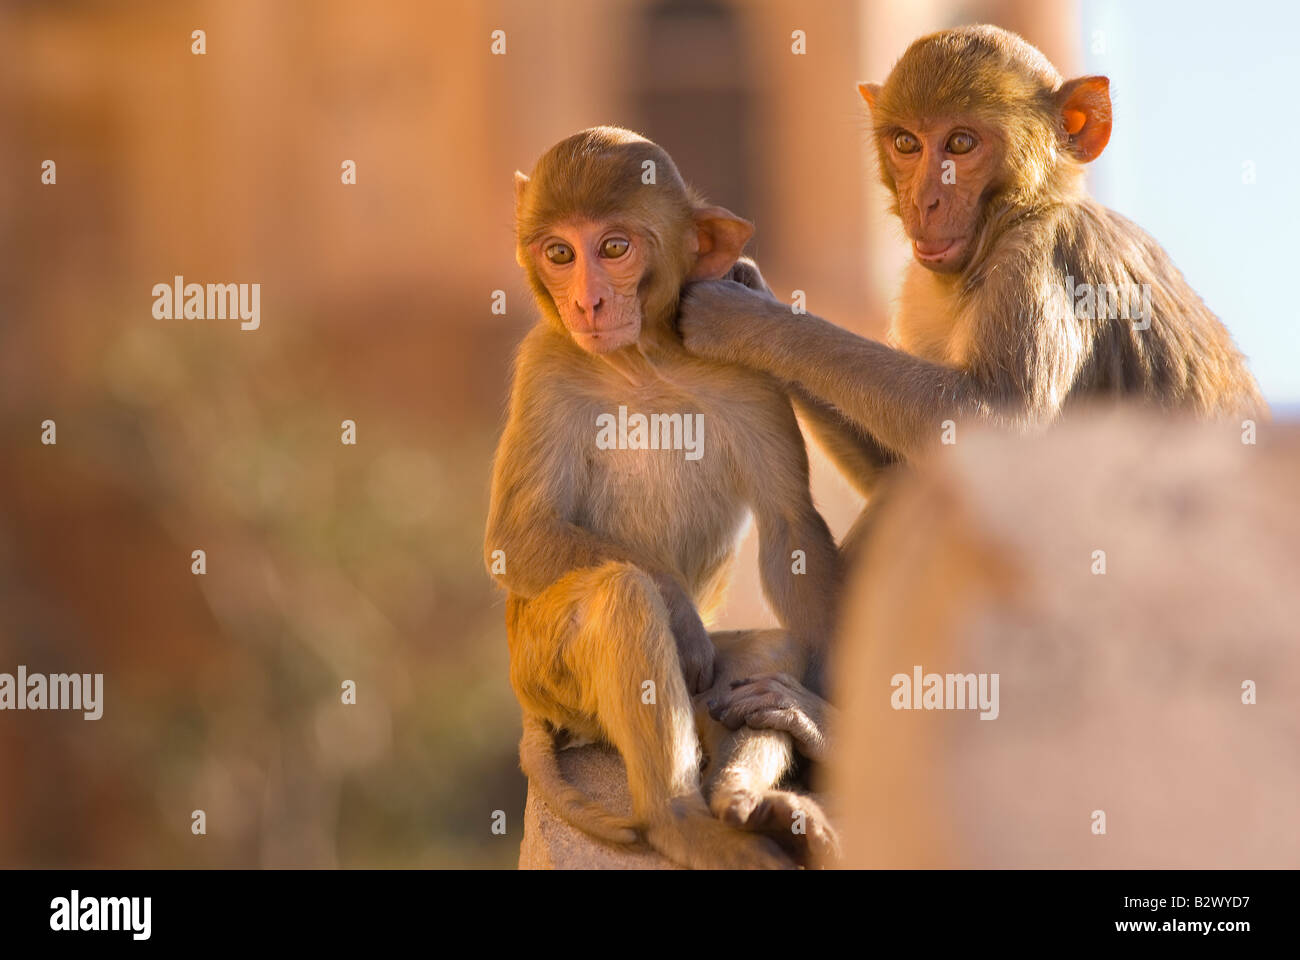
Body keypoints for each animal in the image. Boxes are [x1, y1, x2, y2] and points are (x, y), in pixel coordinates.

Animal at [484, 127, 842, 869]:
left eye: (614, 248)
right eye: (560, 253)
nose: (587, 303)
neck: (643, 362)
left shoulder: (748, 371)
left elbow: (790, 525)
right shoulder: (544, 363)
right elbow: (516, 537)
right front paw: (678, 607)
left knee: (764, 654)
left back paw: (750, 797)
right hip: (544, 669)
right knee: (622, 593)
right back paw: (679, 816)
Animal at [680, 24, 1266, 752]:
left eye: (961, 144)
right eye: (907, 143)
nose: (923, 202)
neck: (994, 240)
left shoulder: (1044, 262)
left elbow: (995, 424)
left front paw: (744, 319)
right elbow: (901, 469)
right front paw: (752, 285)